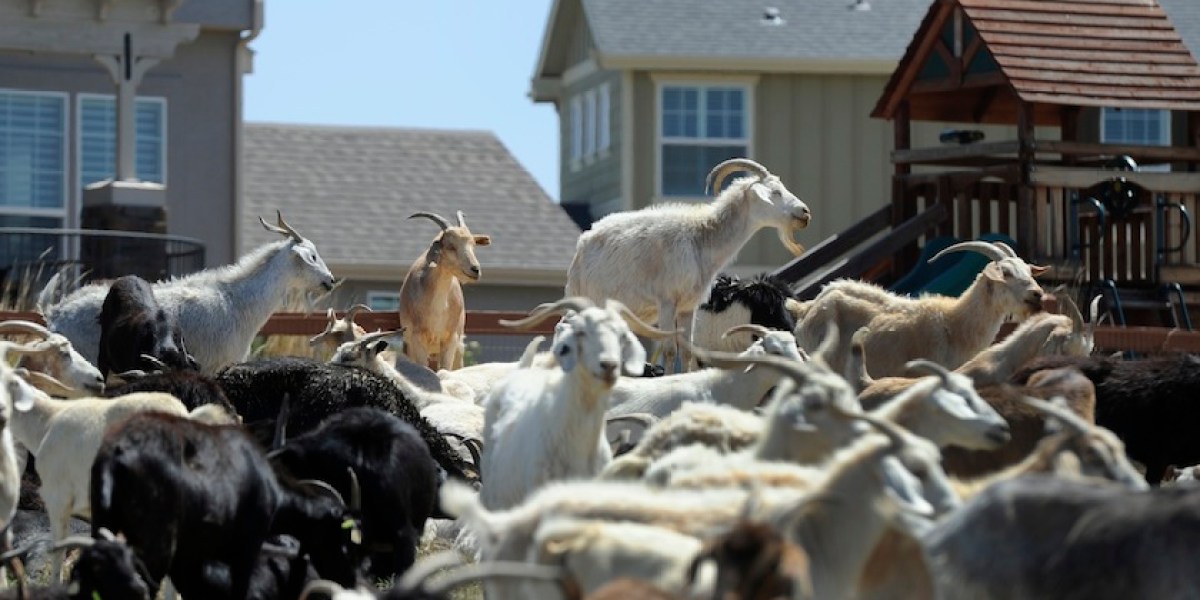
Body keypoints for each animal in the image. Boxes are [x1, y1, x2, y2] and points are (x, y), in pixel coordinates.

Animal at [90, 411, 361, 599]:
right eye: (338, 531)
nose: (348, 578)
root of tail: (115, 456)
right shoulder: (246, 548)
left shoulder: (193, 559)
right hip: (157, 546)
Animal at [399, 211, 491, 371]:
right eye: (451, 246)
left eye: (473, 244)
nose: (475, 269)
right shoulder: (417, 339)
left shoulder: (450, 339)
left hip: (458, 349)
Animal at [566, 158, 811, 373]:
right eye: (776, 192)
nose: (805, 212)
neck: (700, 238)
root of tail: (582, 245)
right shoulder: (667, 302)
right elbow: (670, 350)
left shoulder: (688, 307)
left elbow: (687, 352)